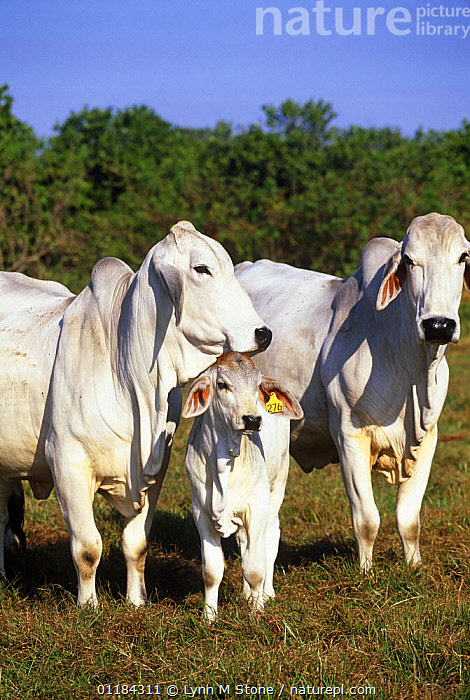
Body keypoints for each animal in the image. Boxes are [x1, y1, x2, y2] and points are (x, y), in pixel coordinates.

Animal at [0, 221, 272, 606]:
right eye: (201, 268)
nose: (263, 333)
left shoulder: (154, 470)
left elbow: (136, 544)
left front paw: (136, 601)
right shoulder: (67, 463)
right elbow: (87, 548)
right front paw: (88, 606)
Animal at [183, 352, 303, 621]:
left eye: (257, 386)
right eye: (222, 384)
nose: (252, 419)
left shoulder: (256, 507)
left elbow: (255, 568)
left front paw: (256, 612)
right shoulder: (200, 512)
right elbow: (212, 571)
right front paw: (209, 617)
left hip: (277, 486)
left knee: (269, 538)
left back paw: (266, 593)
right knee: (244, 542)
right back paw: (246, 594)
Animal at [236, 213, 470, 571]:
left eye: (462, 257)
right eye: (410, 261)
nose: (438, 325)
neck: (410, 368)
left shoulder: (427, 437)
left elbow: (409, 519)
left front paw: (414, 567)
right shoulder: (349, 433)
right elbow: (367, 519)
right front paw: (366, 572)